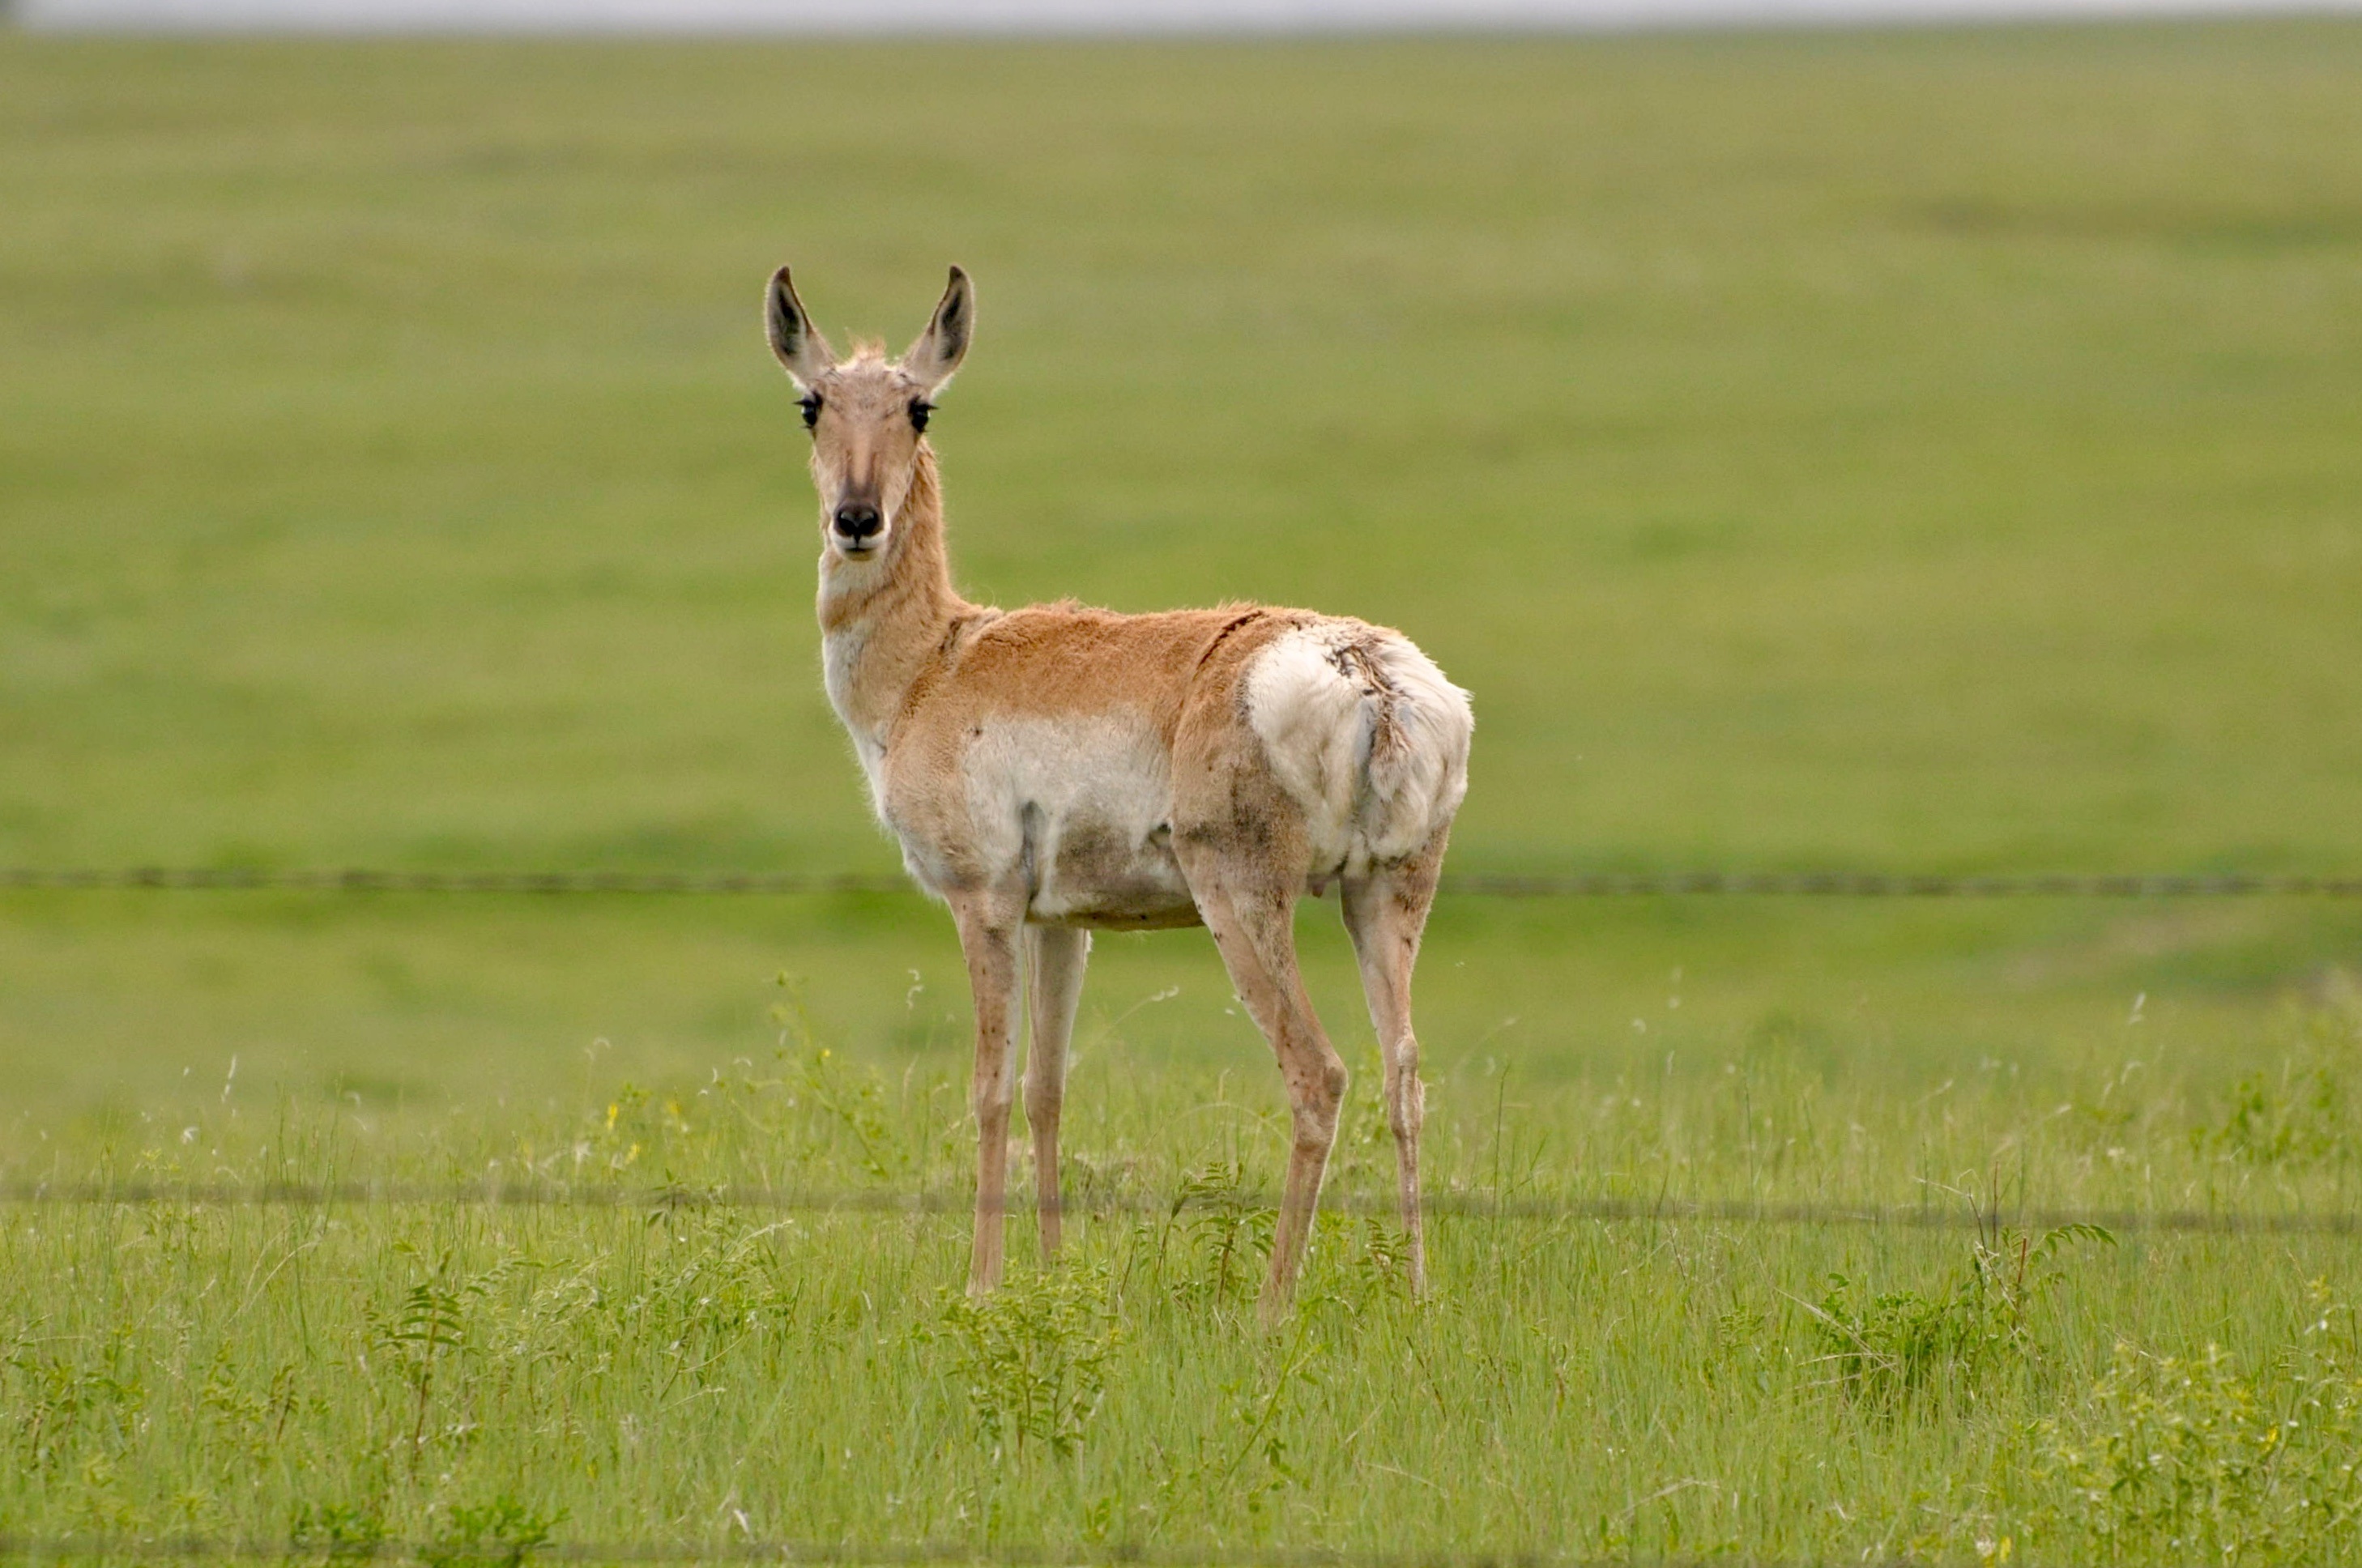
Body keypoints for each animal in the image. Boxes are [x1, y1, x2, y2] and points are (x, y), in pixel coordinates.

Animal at [764, 265, 1472, 1314]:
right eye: (812, 403)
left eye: (919, 407)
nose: (857, 521)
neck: (935, 660)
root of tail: (1366, 671)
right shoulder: (1063, 923)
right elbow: (1049, 1089)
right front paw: (1054, 1275)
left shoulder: (983, 903)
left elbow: (989, 1089)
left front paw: (982, 1285)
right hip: (1384, 895)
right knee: (1405, 1073)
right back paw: (1420, 1293)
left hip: (1244, 900)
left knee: (1320, 1075)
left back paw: (1268, 1307)